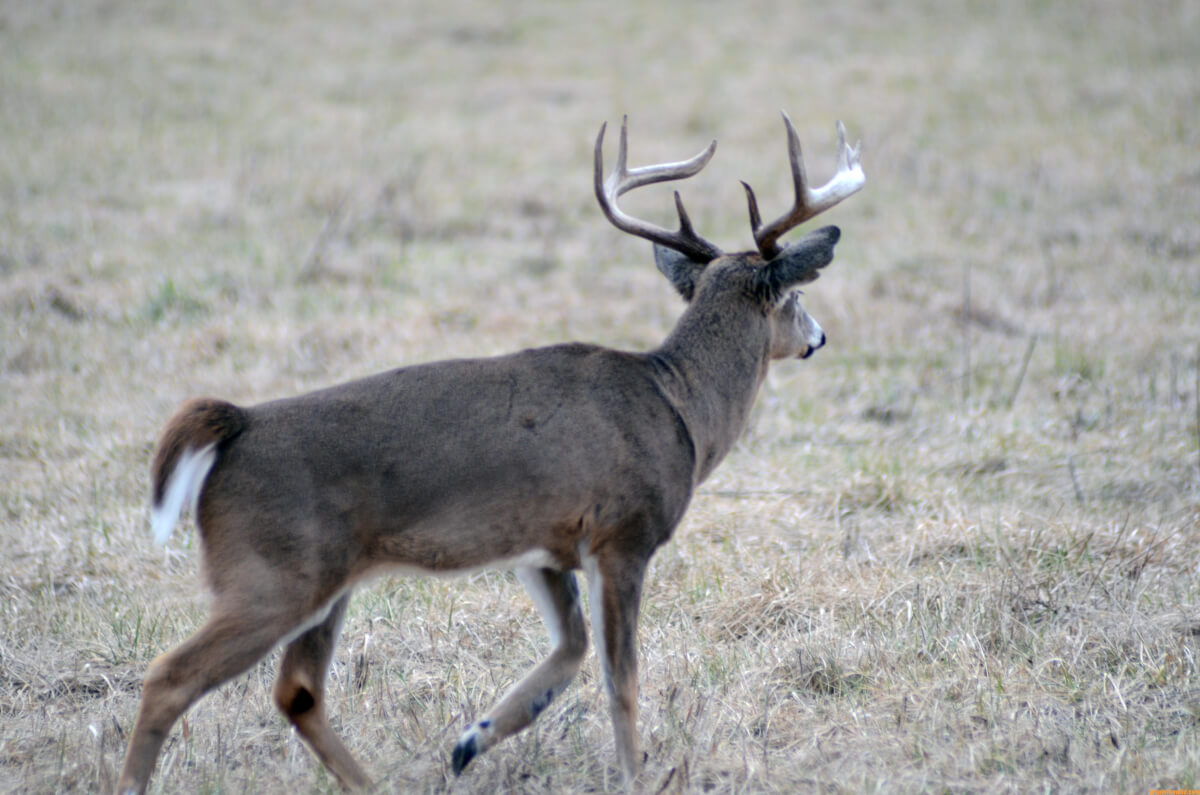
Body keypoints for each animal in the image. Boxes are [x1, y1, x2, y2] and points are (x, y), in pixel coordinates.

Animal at [116, 112, 864, 794]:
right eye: (796, 295)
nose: (820, 336)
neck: (679, 406)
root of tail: (237, 424)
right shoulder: (624, 534)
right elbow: (620, 678)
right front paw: (633, 775)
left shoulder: (547, 547)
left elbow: (570, 651)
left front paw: (469, 741)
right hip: (272, 574)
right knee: (170, 676)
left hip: (322, 581)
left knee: (297, 691)